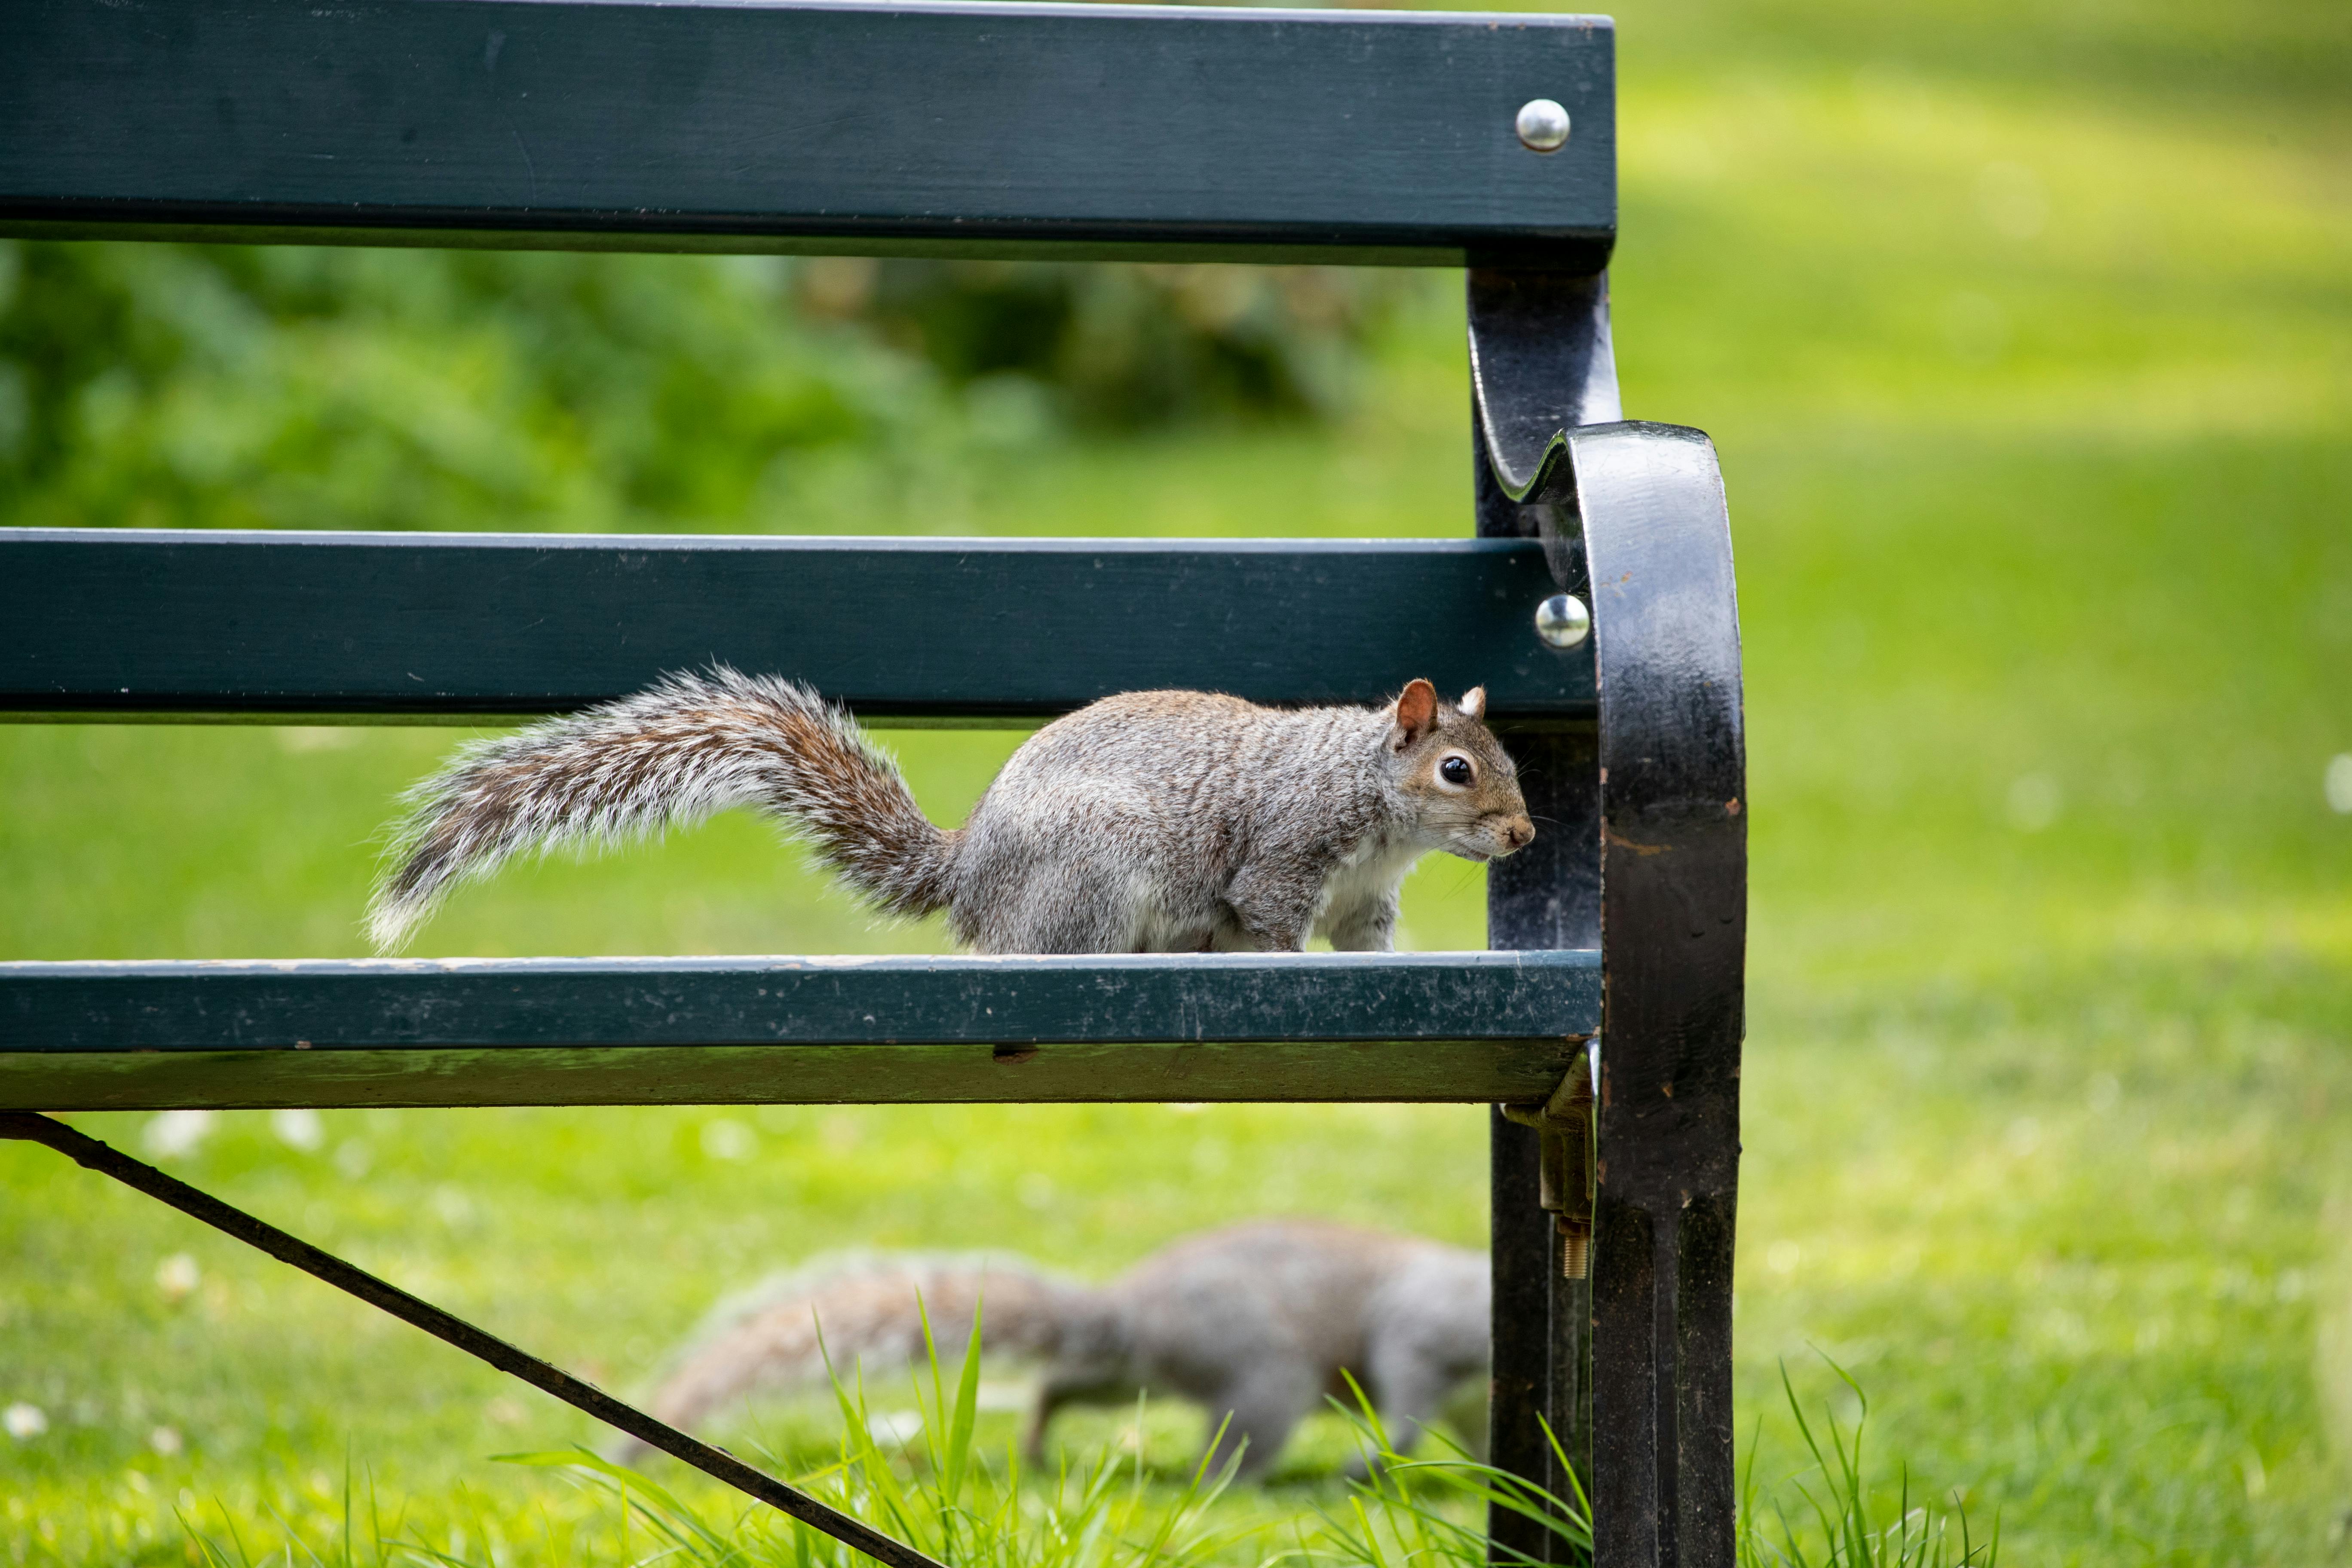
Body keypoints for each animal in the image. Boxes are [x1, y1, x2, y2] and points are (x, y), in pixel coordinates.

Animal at [614, 1219, 1488, 1480]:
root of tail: (1131, 1312)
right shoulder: (1418, 1329)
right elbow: (1407, 1396)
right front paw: (1377, 1458)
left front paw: (1494, 1477)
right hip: (1267, 1379)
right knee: (1232, 1449)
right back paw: (1231, 1484)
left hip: (1124, 1378)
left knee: (1059, 1385)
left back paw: (1037, 1442)